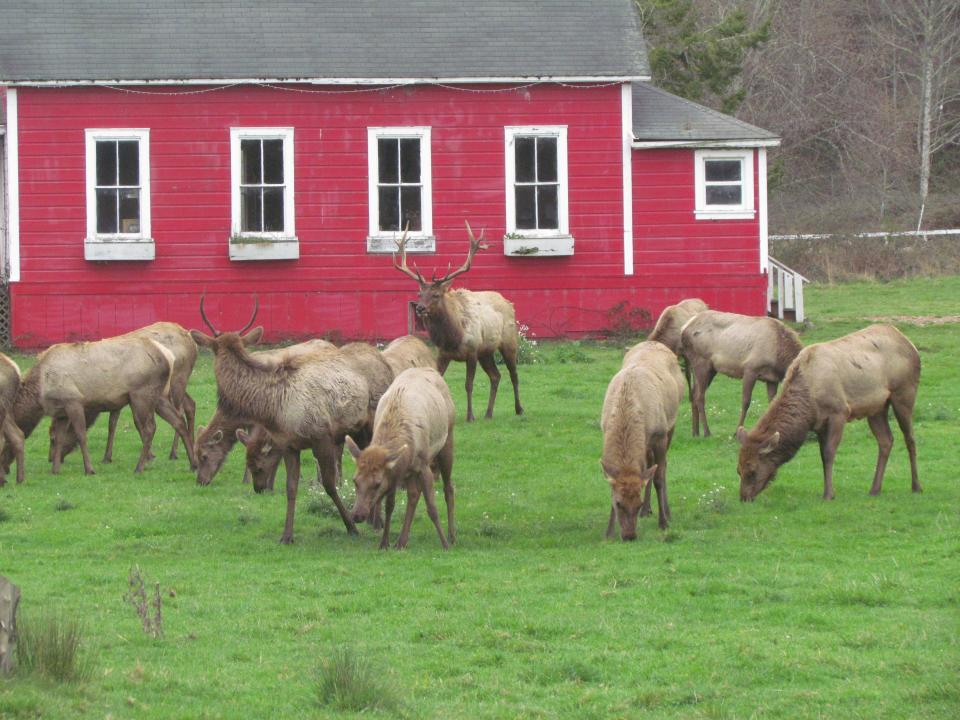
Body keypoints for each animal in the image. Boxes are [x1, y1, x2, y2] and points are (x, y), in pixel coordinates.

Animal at [191, 297, 374, 543]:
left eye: (203, 456)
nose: (200, 481)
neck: (273, 408)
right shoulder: (288, 444)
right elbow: (291, 488)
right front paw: (287, 535)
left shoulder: (321, 437)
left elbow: (329, 485)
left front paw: (351, 526)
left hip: (367, 424)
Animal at [345, 367, 456, 550]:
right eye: (355, 480)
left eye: (377, 484)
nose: (357, 515)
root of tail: (430, 369)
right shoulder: (395, 471)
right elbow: (390, 506)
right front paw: (384, 542)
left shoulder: (424, 464)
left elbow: (432, 507)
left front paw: (445, 544)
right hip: (410, 471)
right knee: (413, 494)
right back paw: (402, 541)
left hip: (447, 440)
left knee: (449, 488)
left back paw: (452, 536)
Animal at [393, 222, 522, 422]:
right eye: (420, 293)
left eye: (436, 294)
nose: (419, 308)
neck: (453, 337)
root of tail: (509, 302)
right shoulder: (443, 354)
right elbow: (438, 377)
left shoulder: (472, 351)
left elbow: (468, 384)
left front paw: (470, 416)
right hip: (486, 352)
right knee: (495, 376)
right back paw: (488, 413)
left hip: (509, 342)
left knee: (513, 374)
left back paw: (519, 409)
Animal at [602, 341, 685, 539]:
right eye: (618, 503)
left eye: (637, 503)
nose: (629, 536)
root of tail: (654, 342)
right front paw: (609, 532)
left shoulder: (660, 434)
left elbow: (658, 479)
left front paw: (663, 522)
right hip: (647, 444)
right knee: (649, 465)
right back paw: (648, 510)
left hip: (670, 424)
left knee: (662, 466)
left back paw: (666, 511)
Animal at [737, 324, 921, 502]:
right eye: (738, 469)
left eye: (752, 470)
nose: (744, 498)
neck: (809, 401)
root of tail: (911, 345)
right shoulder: (819, 423)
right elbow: (822, 456)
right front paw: (829, 491)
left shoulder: (839, 412)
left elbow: (829, 453)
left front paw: (828, 494)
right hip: (877, 408)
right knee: (886, 440)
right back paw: (875, 489)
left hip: (904, 393)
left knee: (910, 438)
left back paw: (916, 486)